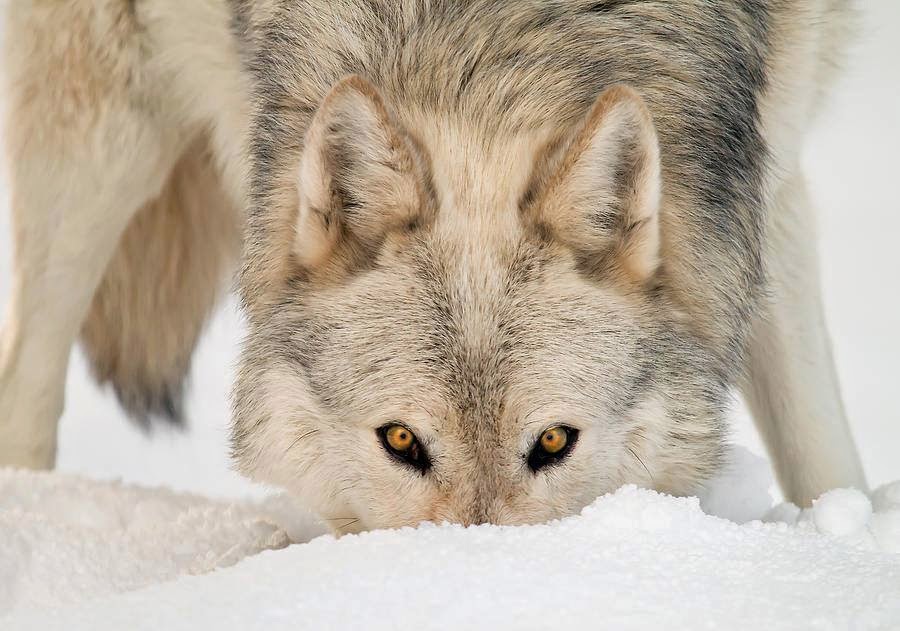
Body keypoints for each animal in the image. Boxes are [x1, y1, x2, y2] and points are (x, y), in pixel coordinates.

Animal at [0, 0, 867, 531]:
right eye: (400, 440)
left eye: (554, 442)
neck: (491, 55)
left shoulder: (765, 182)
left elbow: (822, 455)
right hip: (100, 145)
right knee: (29, 378)